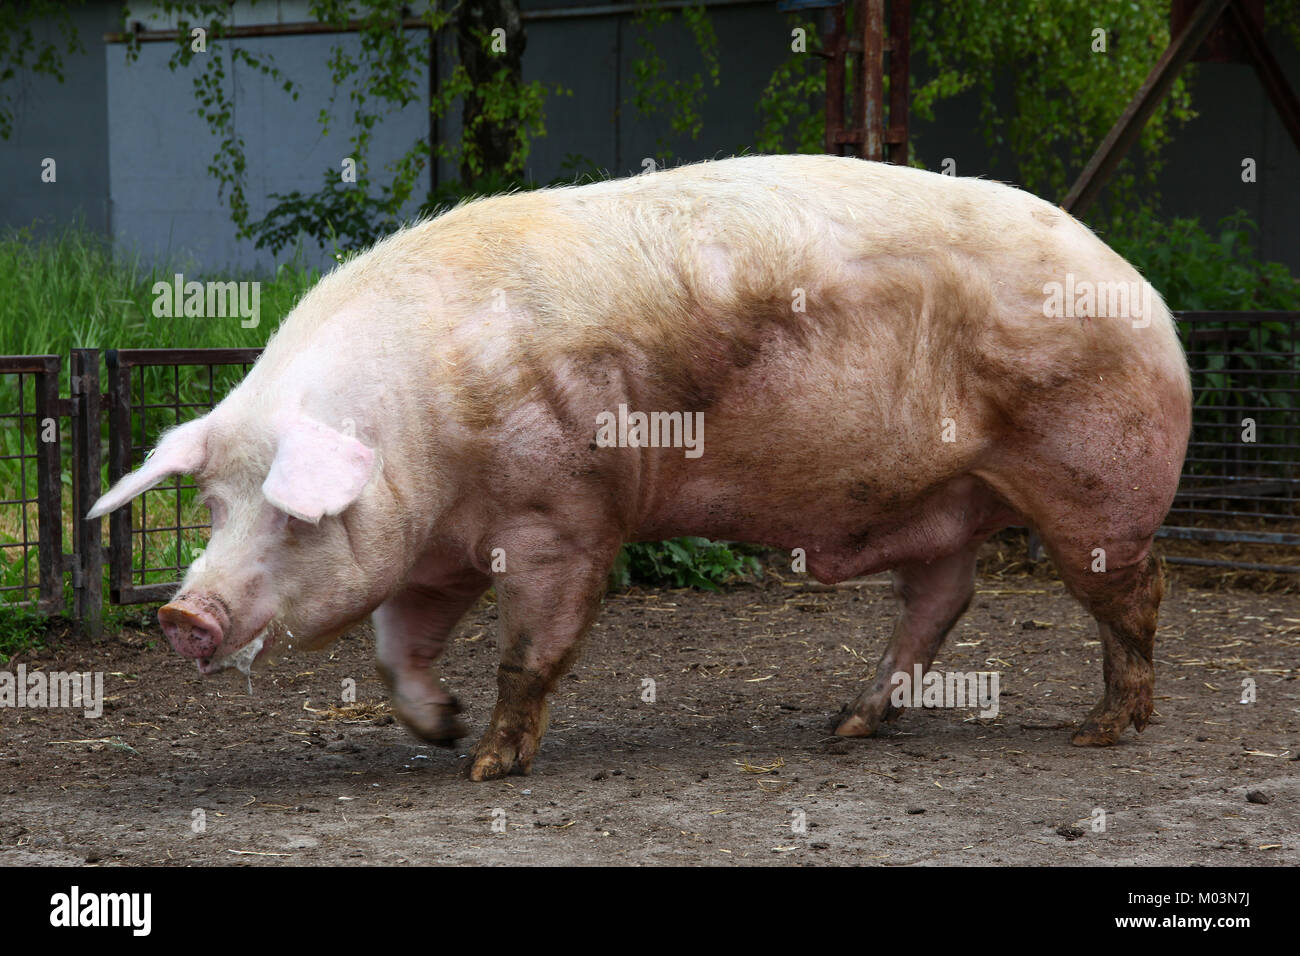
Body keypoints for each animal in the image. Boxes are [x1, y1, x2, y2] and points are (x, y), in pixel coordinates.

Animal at [88, 154, 1191, 780]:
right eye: (212, 504)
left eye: (293, 517)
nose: (182, 613)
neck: (424, 434)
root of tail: (1149, 294)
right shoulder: (432, 547)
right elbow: (398, 644)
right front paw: (440, 729)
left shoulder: (564, 516)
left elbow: (531, 648)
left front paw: (486, 768)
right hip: (944, 500)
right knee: (941, 599)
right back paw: (843, 727)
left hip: (1094, 483)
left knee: (1135, 591)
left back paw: (1104, 731)